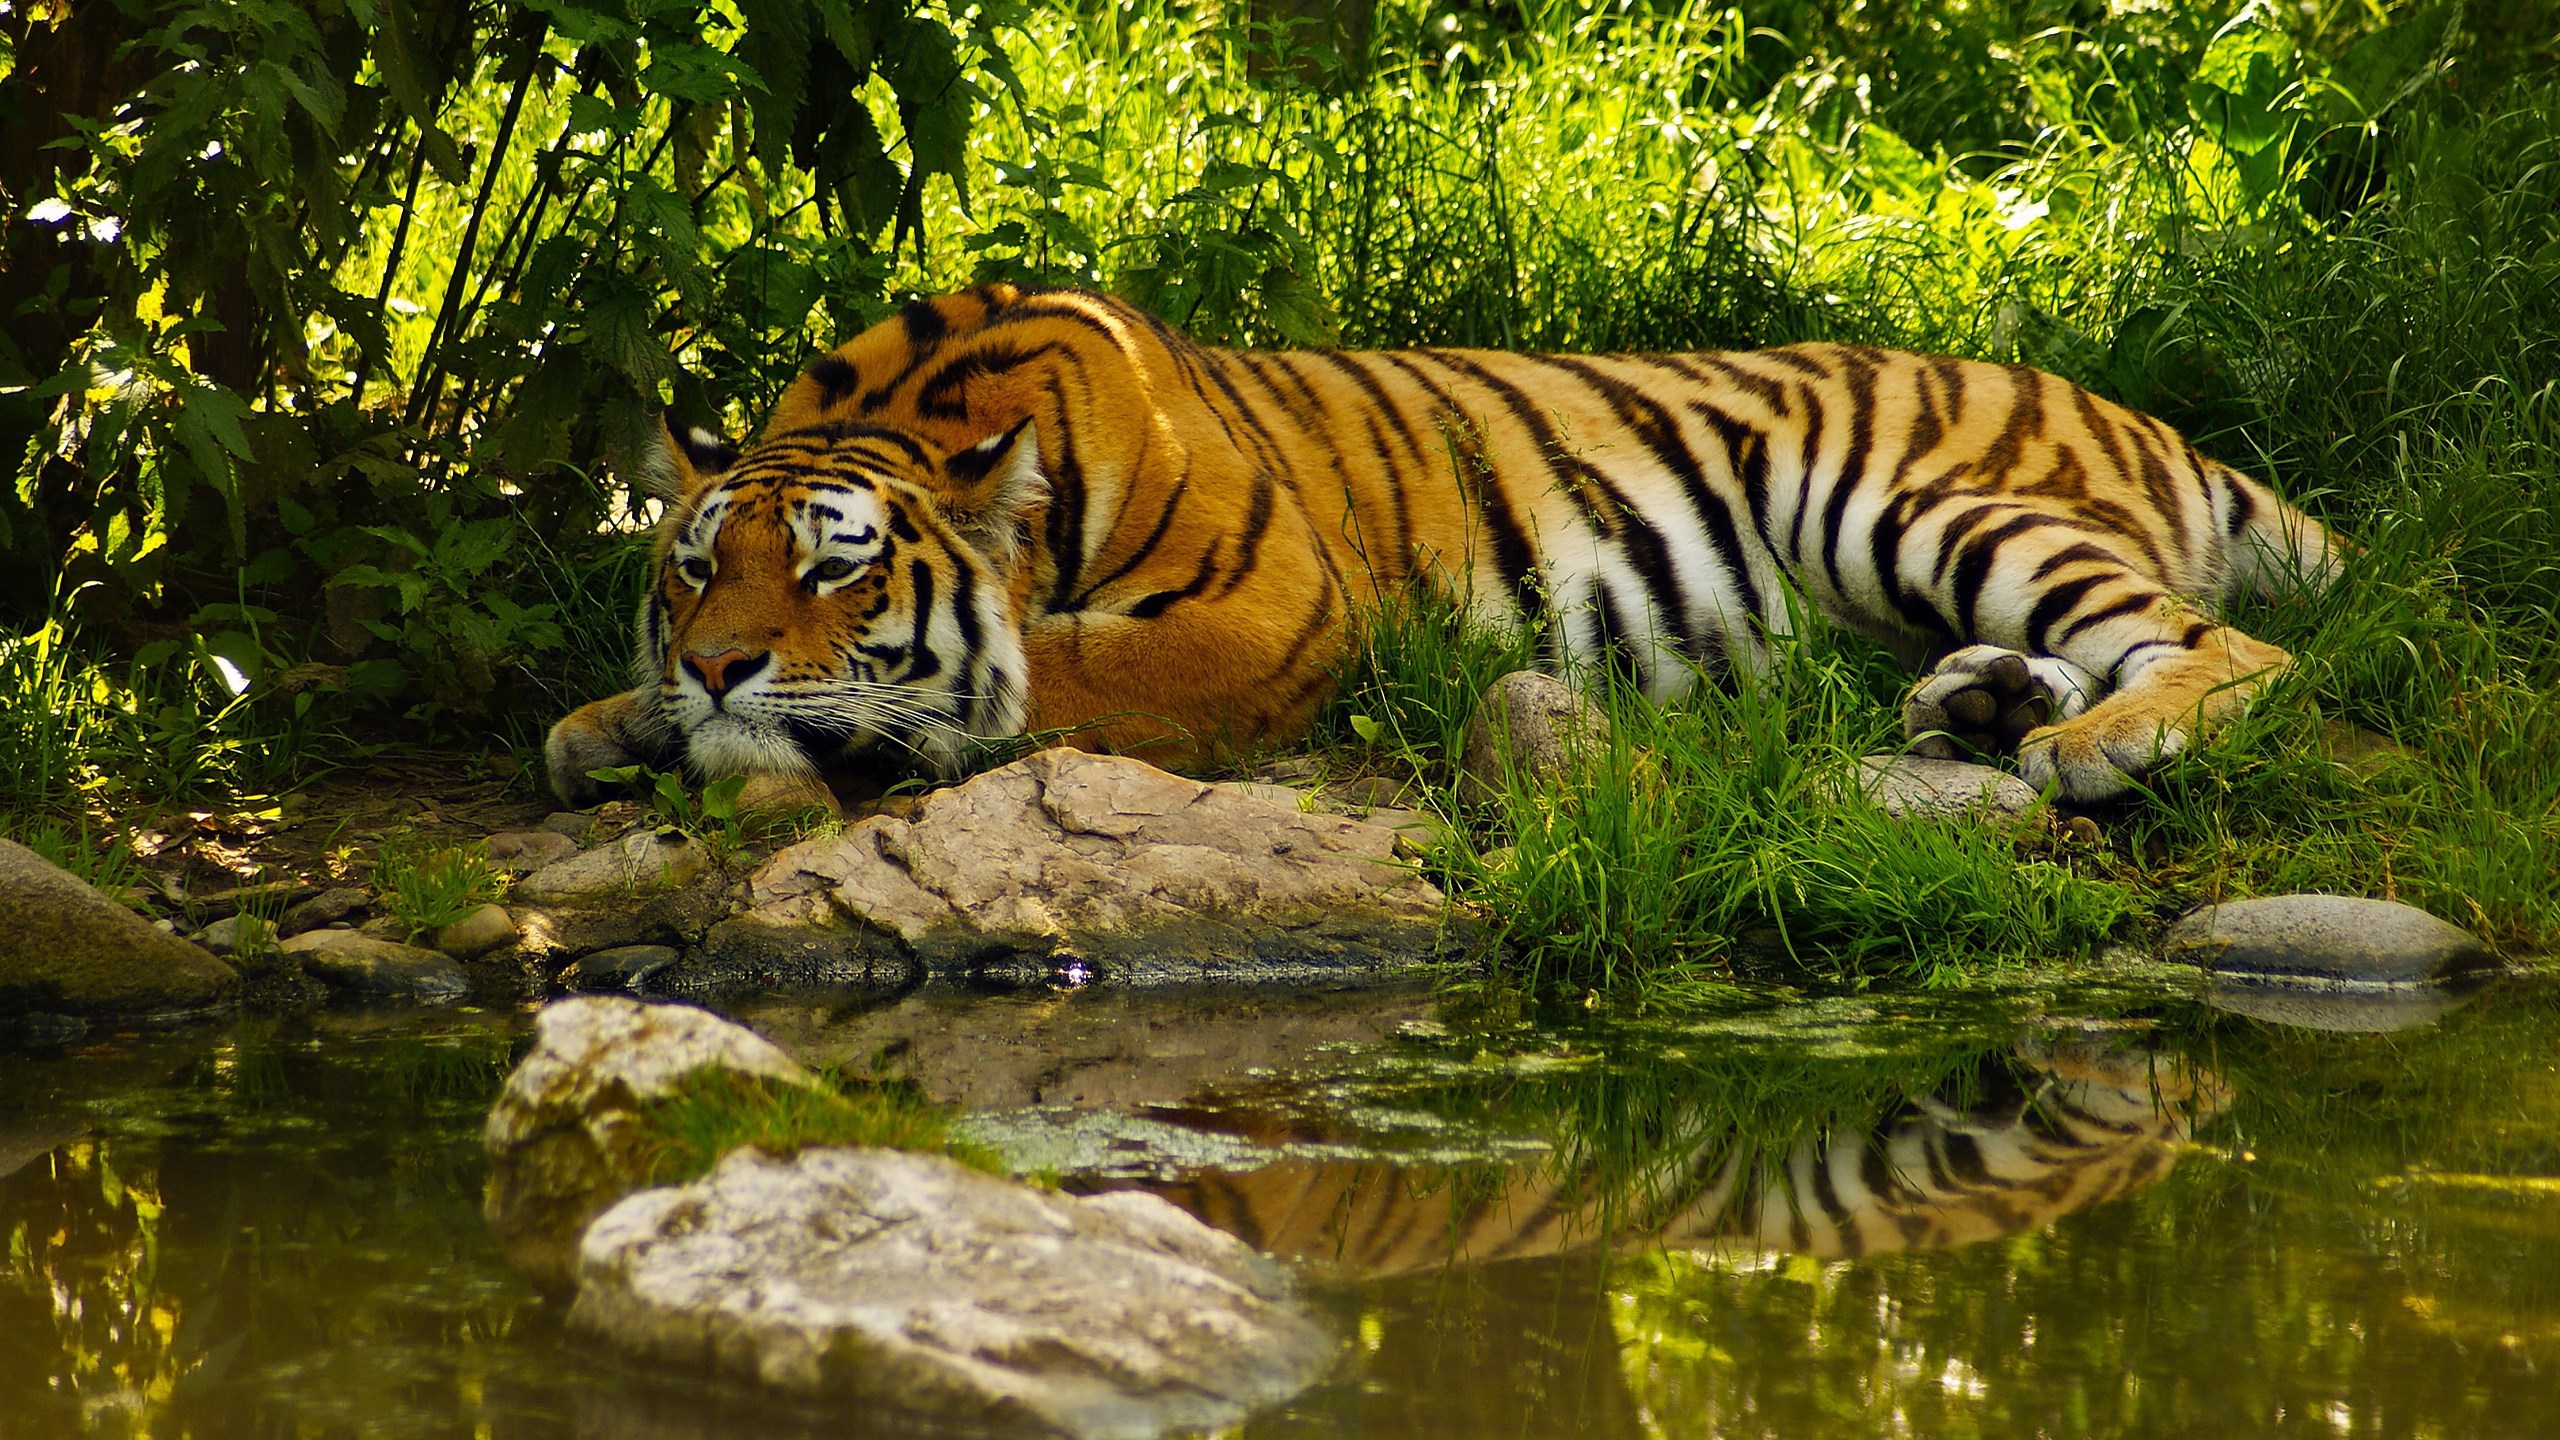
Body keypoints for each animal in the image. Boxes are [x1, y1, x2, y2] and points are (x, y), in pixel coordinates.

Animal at [545, 282, 2339, 809]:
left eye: (838, 568)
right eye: (695, 566)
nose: (719, 667)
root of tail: (2131, 411)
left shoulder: (1269, 614)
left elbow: (1042, 676)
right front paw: (614, 719)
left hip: (1915, 500)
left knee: (2230, 647)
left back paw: (2094, 746)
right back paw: (1983, 706)